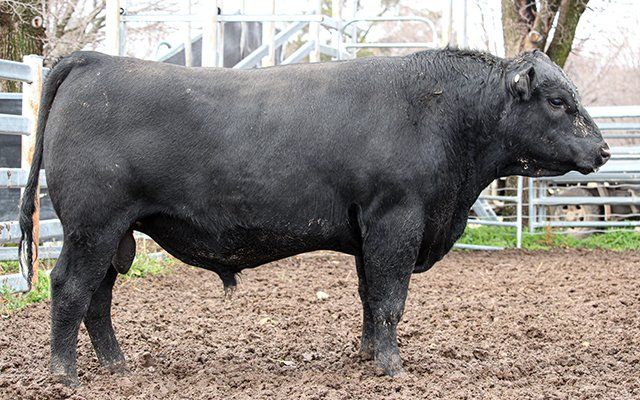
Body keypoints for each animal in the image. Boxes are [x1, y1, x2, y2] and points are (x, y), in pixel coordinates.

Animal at [18, 48, 609, 386]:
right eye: (558, 101)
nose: (603, 150)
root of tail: (94, 60)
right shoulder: (397, 220)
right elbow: (390, 299)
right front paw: (392, 367)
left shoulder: (369, 232)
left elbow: (370, 297)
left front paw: (367, 356)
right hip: (92, 227)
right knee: (70, 288)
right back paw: (64, 374)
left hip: (113, 234)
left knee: (97, 298)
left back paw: (116, 365)